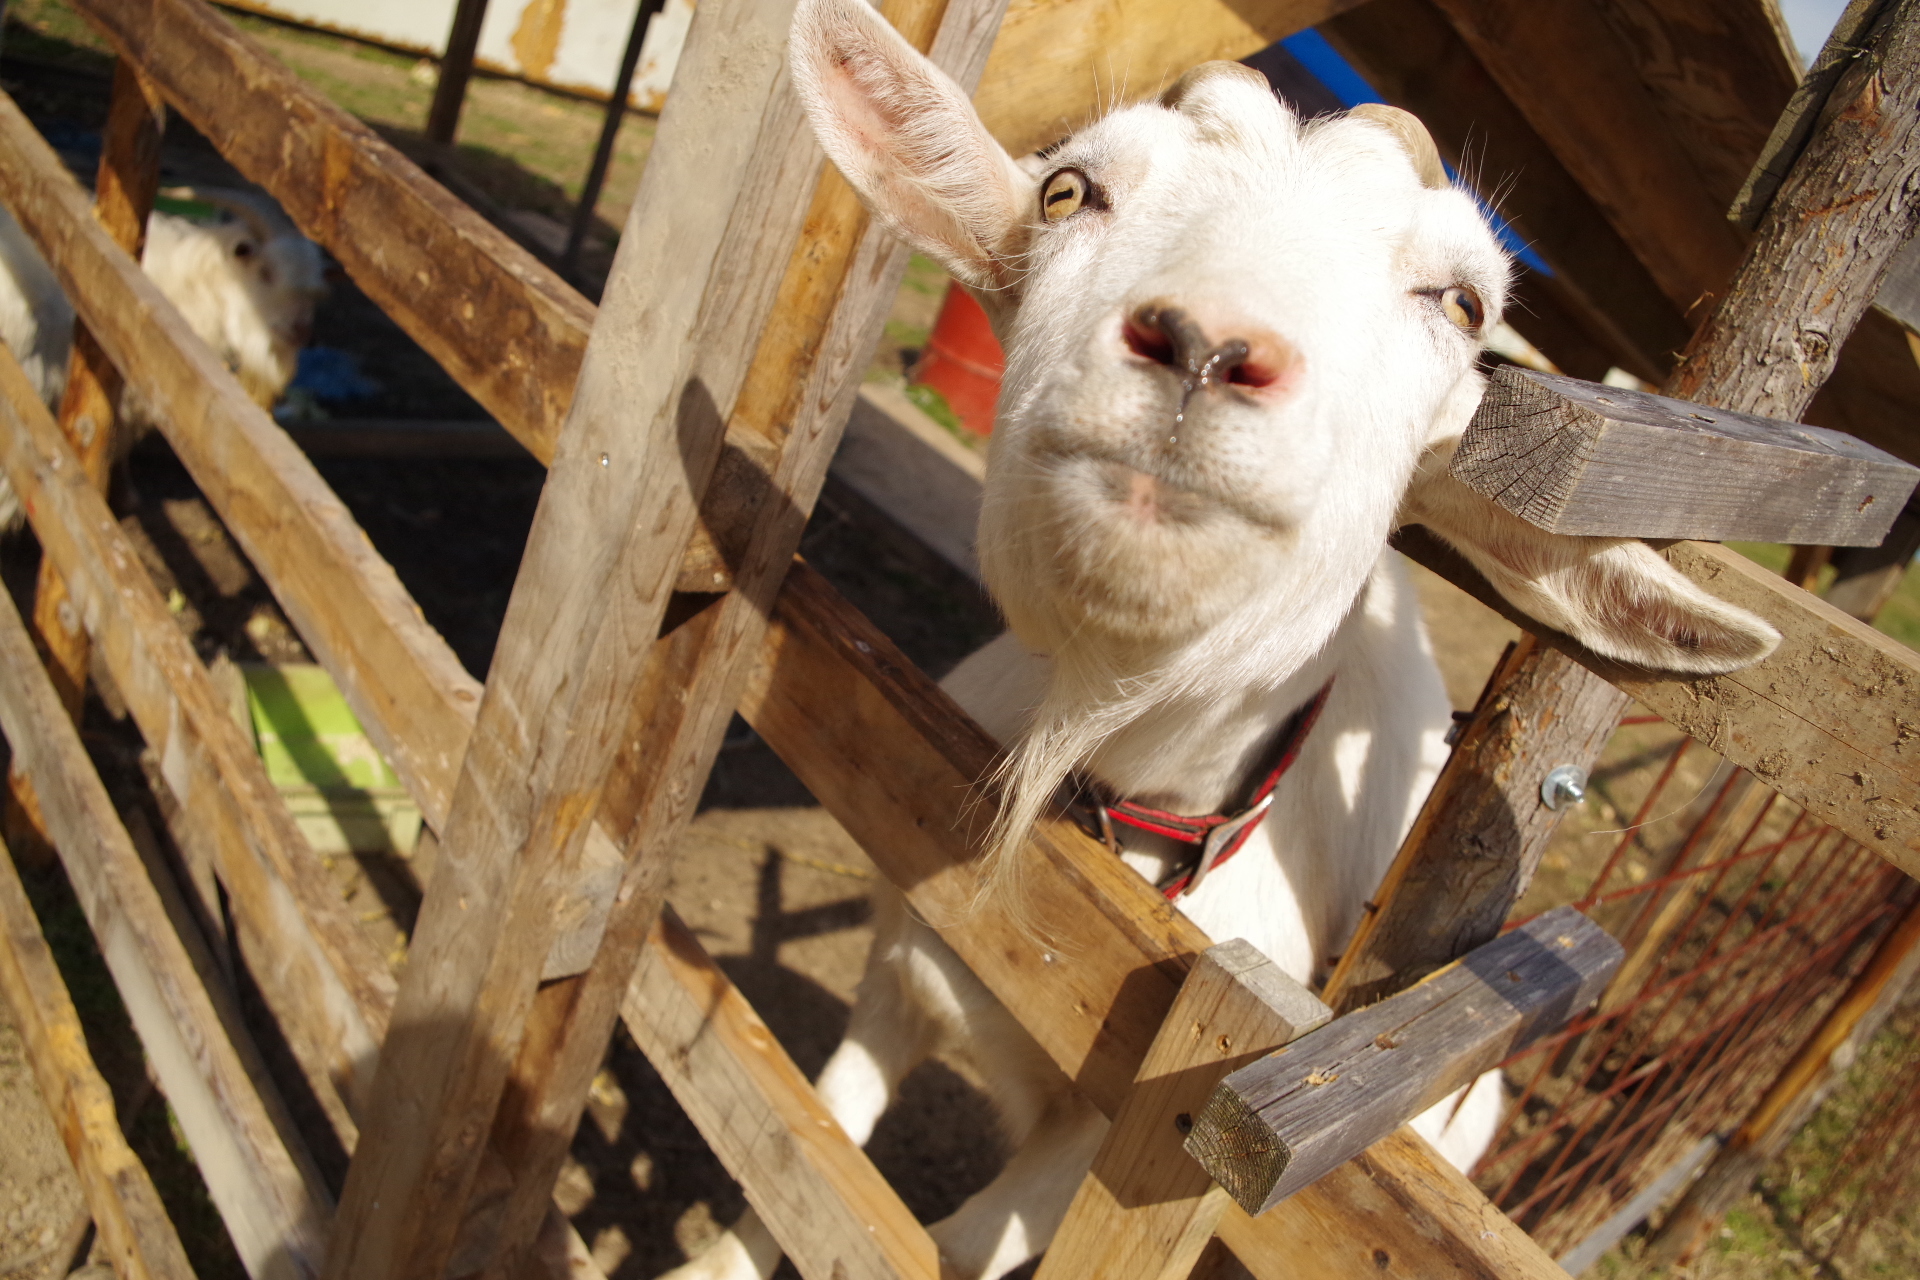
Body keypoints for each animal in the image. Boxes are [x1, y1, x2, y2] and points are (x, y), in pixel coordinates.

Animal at [661, 2, 1782, 1276]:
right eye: (1068, 190)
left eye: (1461, 302)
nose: (1204, 345)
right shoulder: (902, 969)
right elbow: (798, 1169)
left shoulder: (1104, 1152)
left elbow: (958, 1243)